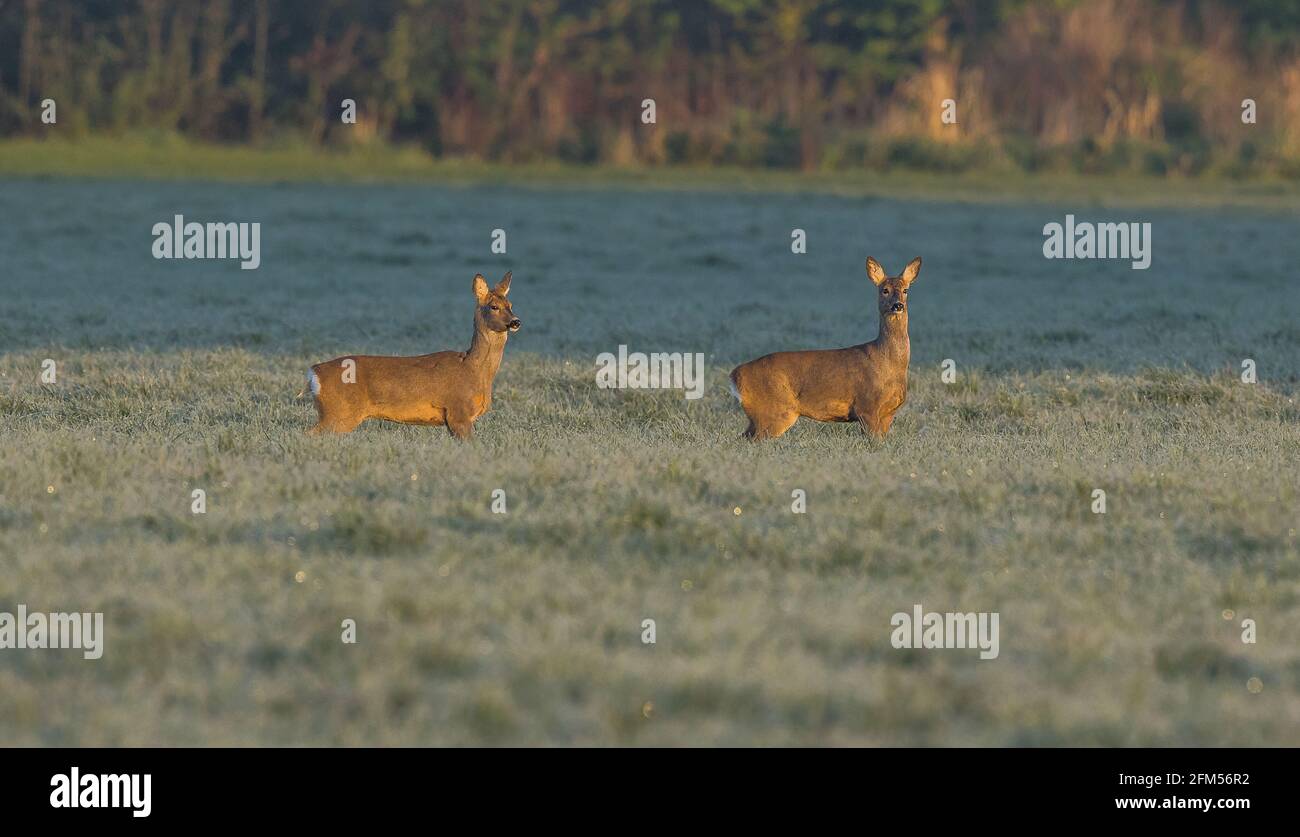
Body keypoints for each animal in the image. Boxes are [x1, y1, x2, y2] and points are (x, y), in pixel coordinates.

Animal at [302, 272, 520, 439]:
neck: (473, 368)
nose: (516, 321)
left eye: (510, 305)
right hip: (339, 413)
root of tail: (314, 373)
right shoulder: (458, 412)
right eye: (494, 306)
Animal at [729, 256, 921, 440]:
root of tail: (736, 374)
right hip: (773, 411)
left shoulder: (888, 413)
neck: (888, 363)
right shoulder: (867, 406)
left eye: (905, 290)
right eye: (884, 290)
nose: (898, 305)